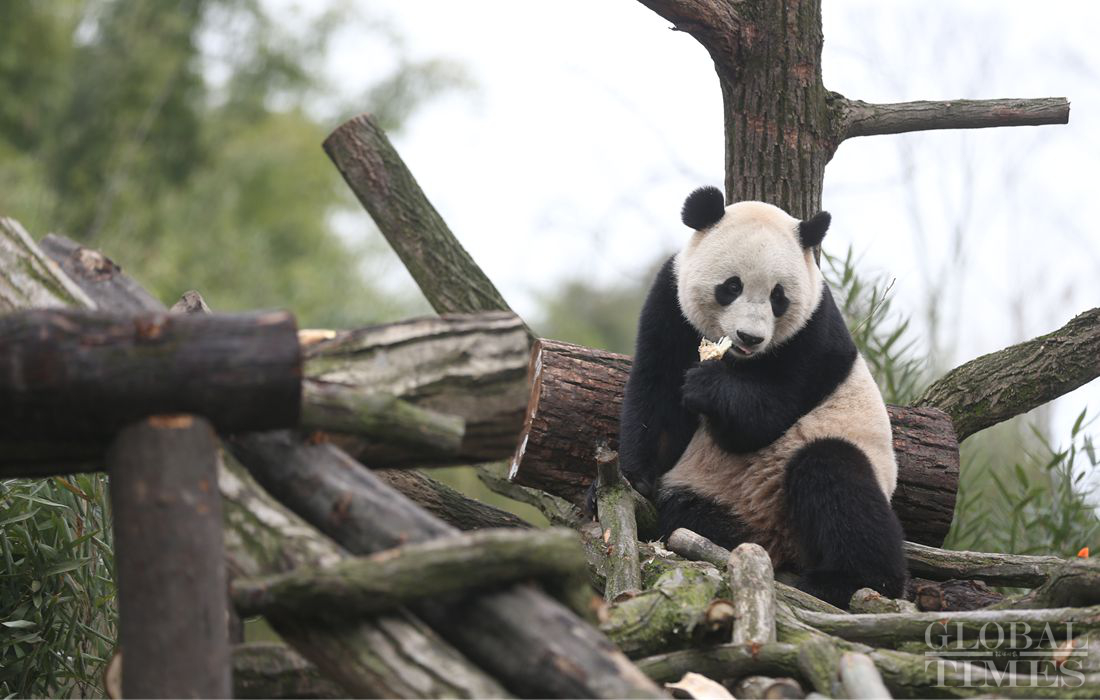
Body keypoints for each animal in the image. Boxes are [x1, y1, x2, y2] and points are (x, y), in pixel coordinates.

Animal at [618, 185, 907, 608]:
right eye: (731, 286)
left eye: (778, 297)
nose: (750, 337)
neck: (740, 360)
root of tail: (777, 545)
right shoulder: (670, 304)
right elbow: (657, 395)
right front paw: (633, 482)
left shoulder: (814, 333)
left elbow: (766, 418)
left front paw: (707, 386)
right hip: (713, 493)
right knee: (689, 516)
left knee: (836, 477)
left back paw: (845, 582)